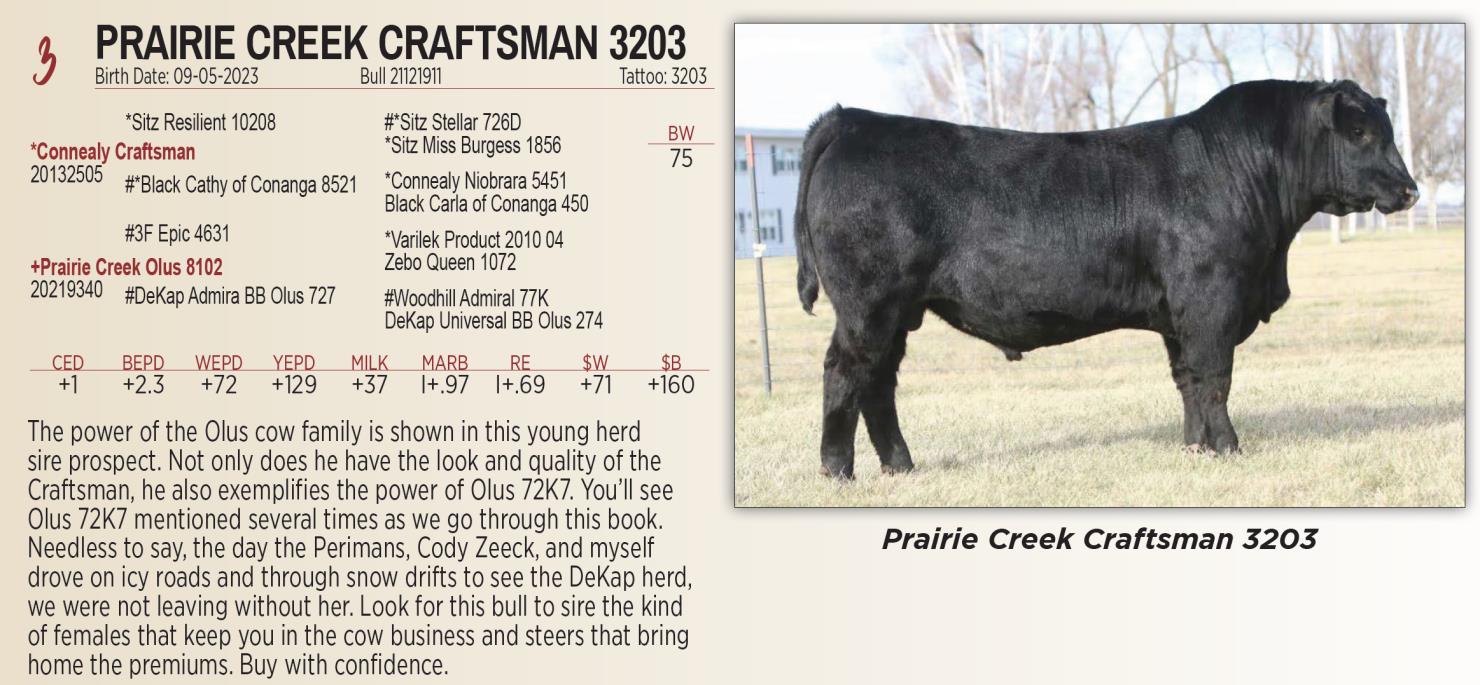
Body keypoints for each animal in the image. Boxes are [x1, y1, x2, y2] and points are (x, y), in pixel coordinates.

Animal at [793, 79, 1419, 479]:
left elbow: (1188, 381)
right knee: (845, 373)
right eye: (1360, 134)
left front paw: (1196, 451)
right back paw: (837, 472)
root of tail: (854, 119)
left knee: (878, 384)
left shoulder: (1179, 315)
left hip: (898, 312)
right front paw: (1230, 450)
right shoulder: (1211, 299)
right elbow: (1215, 378)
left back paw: (901, 467)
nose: (1410, 190)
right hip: (869, 305)